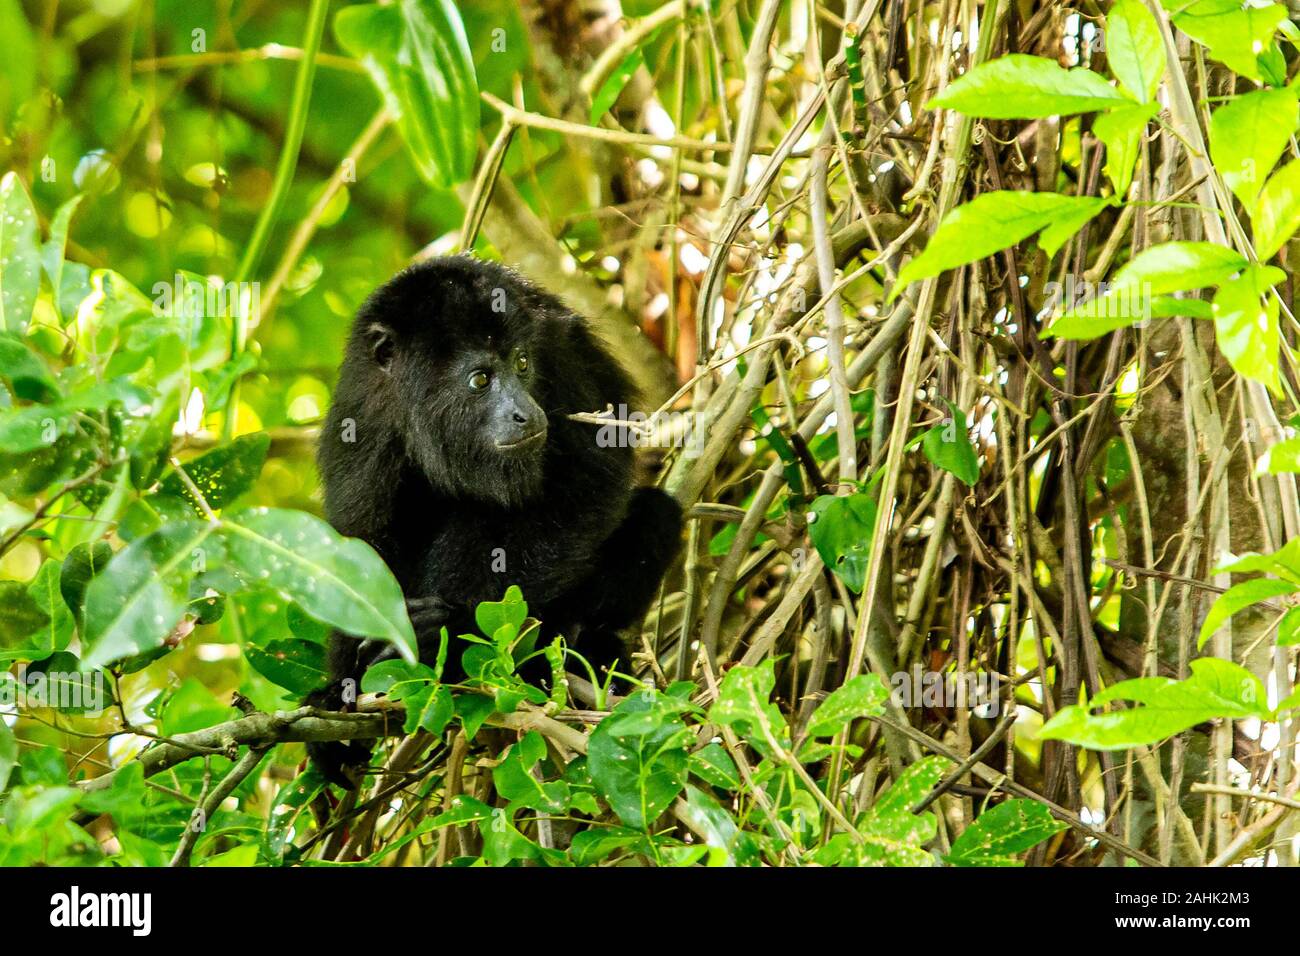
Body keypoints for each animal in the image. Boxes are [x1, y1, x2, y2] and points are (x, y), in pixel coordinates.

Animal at [306, 256, 683, 787]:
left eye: (522, 364)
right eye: (480, 379)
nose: (525, 413)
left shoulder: (560, 355)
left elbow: (584, 486)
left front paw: (443, 634)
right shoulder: (363, 413)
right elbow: (359, 545)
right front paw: (339, 689)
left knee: (654, 514)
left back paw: (586, 647)